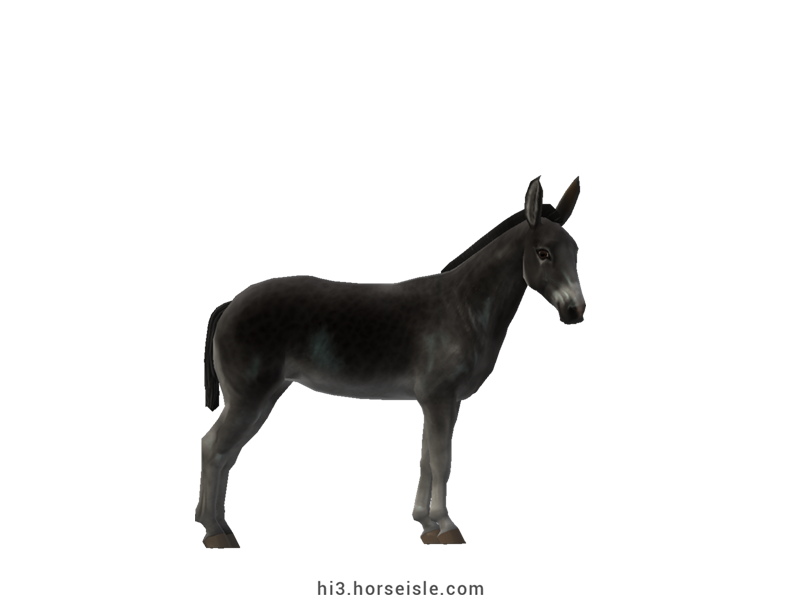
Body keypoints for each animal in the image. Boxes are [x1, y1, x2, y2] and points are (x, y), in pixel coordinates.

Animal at [196, 178, 585, 547]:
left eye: (572, 249)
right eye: (543, 253)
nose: (574, 310)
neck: (463, 307)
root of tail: (231, 304)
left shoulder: (436, 400)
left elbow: (428, 461)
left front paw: (425, 525)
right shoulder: (438, 397)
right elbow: (441, 461)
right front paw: (447, 526)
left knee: (212, 447)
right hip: (247, 398)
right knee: (214, 451)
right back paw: (214, 533)